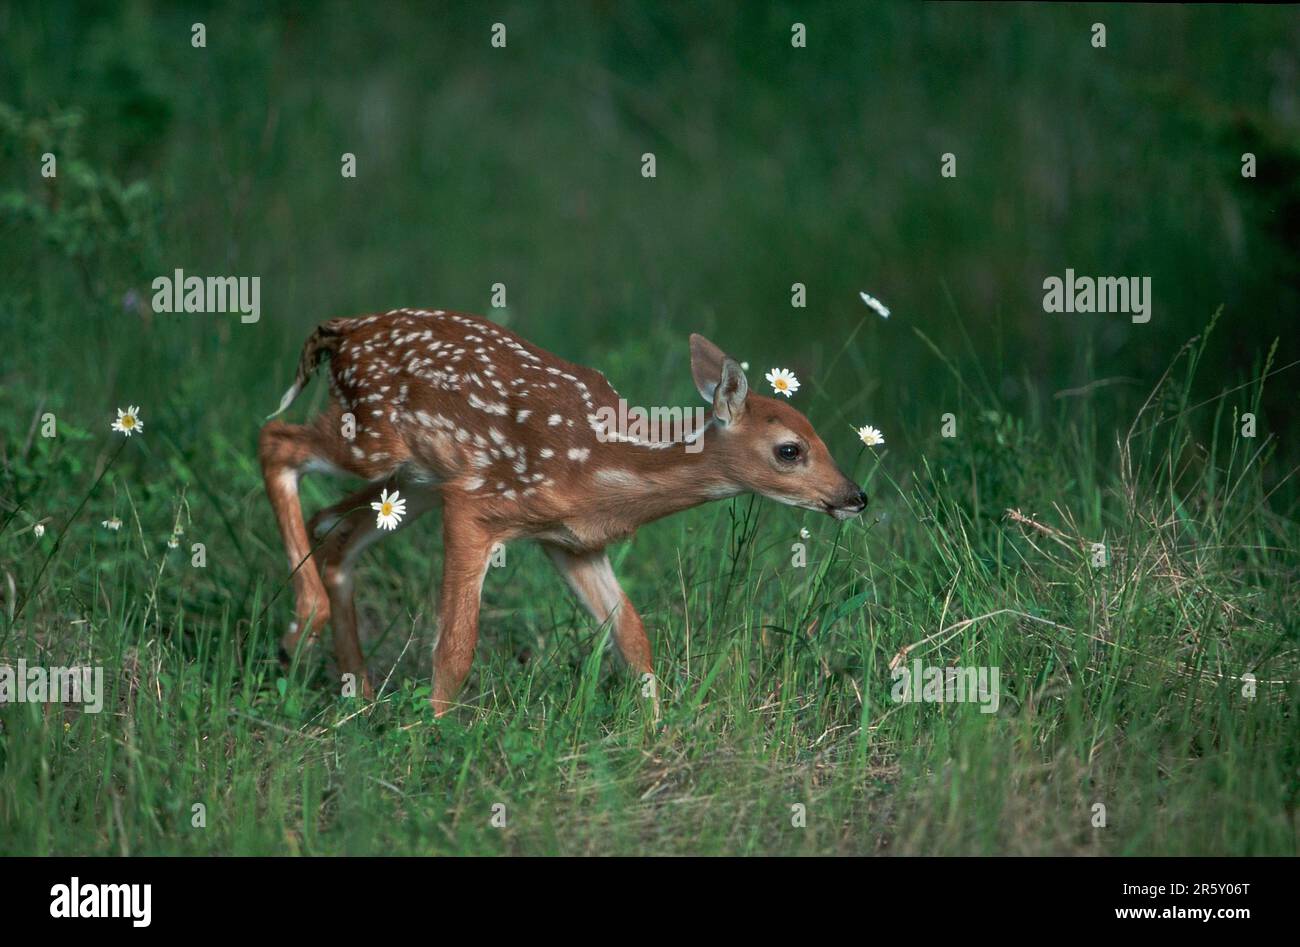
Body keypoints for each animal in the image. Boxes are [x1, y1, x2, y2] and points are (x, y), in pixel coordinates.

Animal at [258, 308, 868, 716]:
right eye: (790, 450)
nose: (855, 497)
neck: (601, 462)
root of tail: (345, 329)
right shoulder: (478, 506)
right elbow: (455, 649)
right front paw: (429, 738)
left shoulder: (572, 541)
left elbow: (632, 635)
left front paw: (656, 728)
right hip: (375, 437)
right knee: (276, 441)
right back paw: (304, 628)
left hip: (417, 480)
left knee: (333, 531)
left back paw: (354, 691)